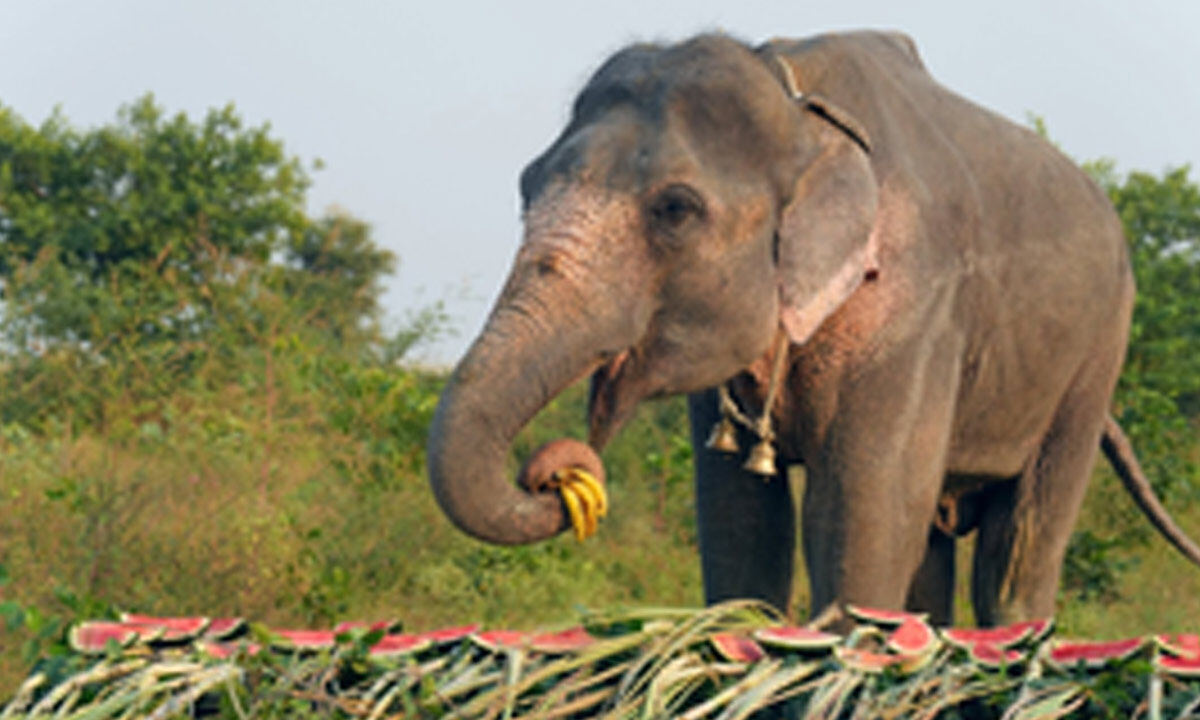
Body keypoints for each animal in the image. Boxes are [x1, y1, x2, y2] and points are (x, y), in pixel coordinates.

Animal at [426, 30, 1200, 626]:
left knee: (1019, 548)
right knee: (933, 543)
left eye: (674, 210)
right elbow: (740, 517)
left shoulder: (913, 303)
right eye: (525, 184)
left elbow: (862, 506)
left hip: (1096, 356)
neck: (795, 98)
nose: (559, 473)